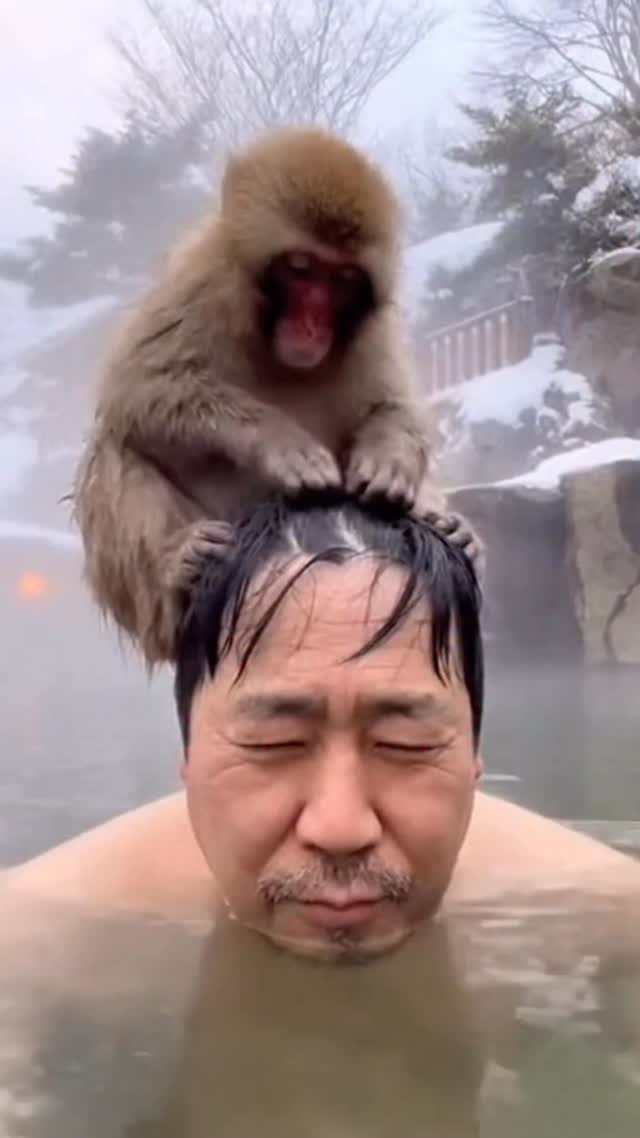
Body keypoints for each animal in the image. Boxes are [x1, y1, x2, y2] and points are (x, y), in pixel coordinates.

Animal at [72, 126, 481, 668]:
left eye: (342, 280)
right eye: (301, 269)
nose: (312, 323)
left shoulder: (372, 334)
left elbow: (393, 407)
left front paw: (388, 458)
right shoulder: (201, 282)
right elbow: (139, 386)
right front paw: (282, 442)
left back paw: (453, 530)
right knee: (113, 444)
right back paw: (181, 562)